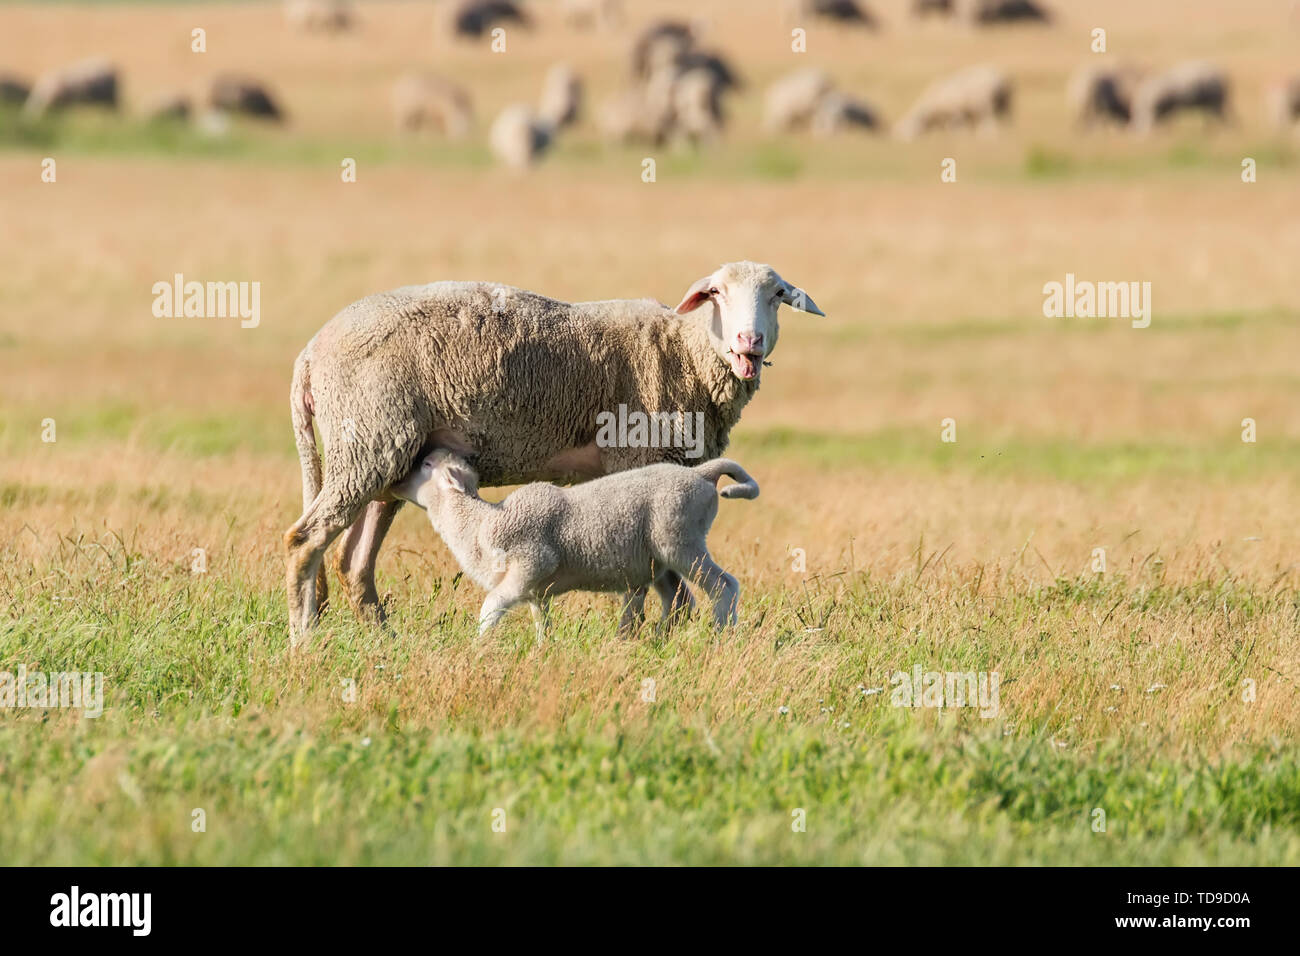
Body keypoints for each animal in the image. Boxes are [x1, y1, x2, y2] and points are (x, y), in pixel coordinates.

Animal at [391, 451, 759, 636]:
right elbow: (542, 621)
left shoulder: (531, 562)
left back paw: (719, 637)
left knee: (724, 586)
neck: (481, 523)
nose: (395, 480)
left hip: (682, 542)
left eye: (426, 464)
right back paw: (658, 639)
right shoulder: (535, 590)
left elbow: (491, 607)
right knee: (679, 599)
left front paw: (479, 646)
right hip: (658, 556)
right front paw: (543, 650)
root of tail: (701, 474)